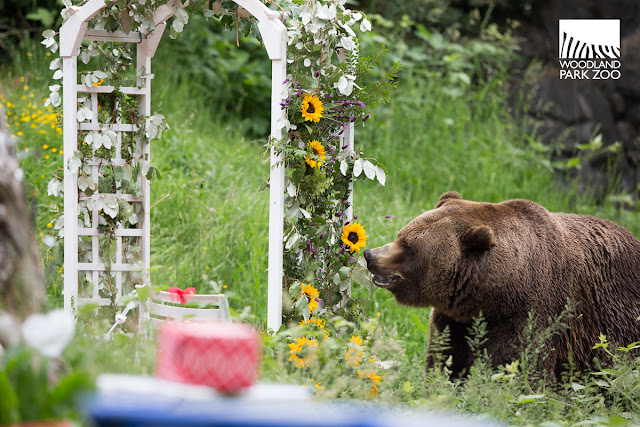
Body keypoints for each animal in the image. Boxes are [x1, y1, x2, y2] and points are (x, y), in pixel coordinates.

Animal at [363, 191, 640, 378]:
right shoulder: (455, 319)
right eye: (401, 234)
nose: (370, 255)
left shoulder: (530, 314)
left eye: (409, 247)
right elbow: (447, 357)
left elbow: (513, 366)